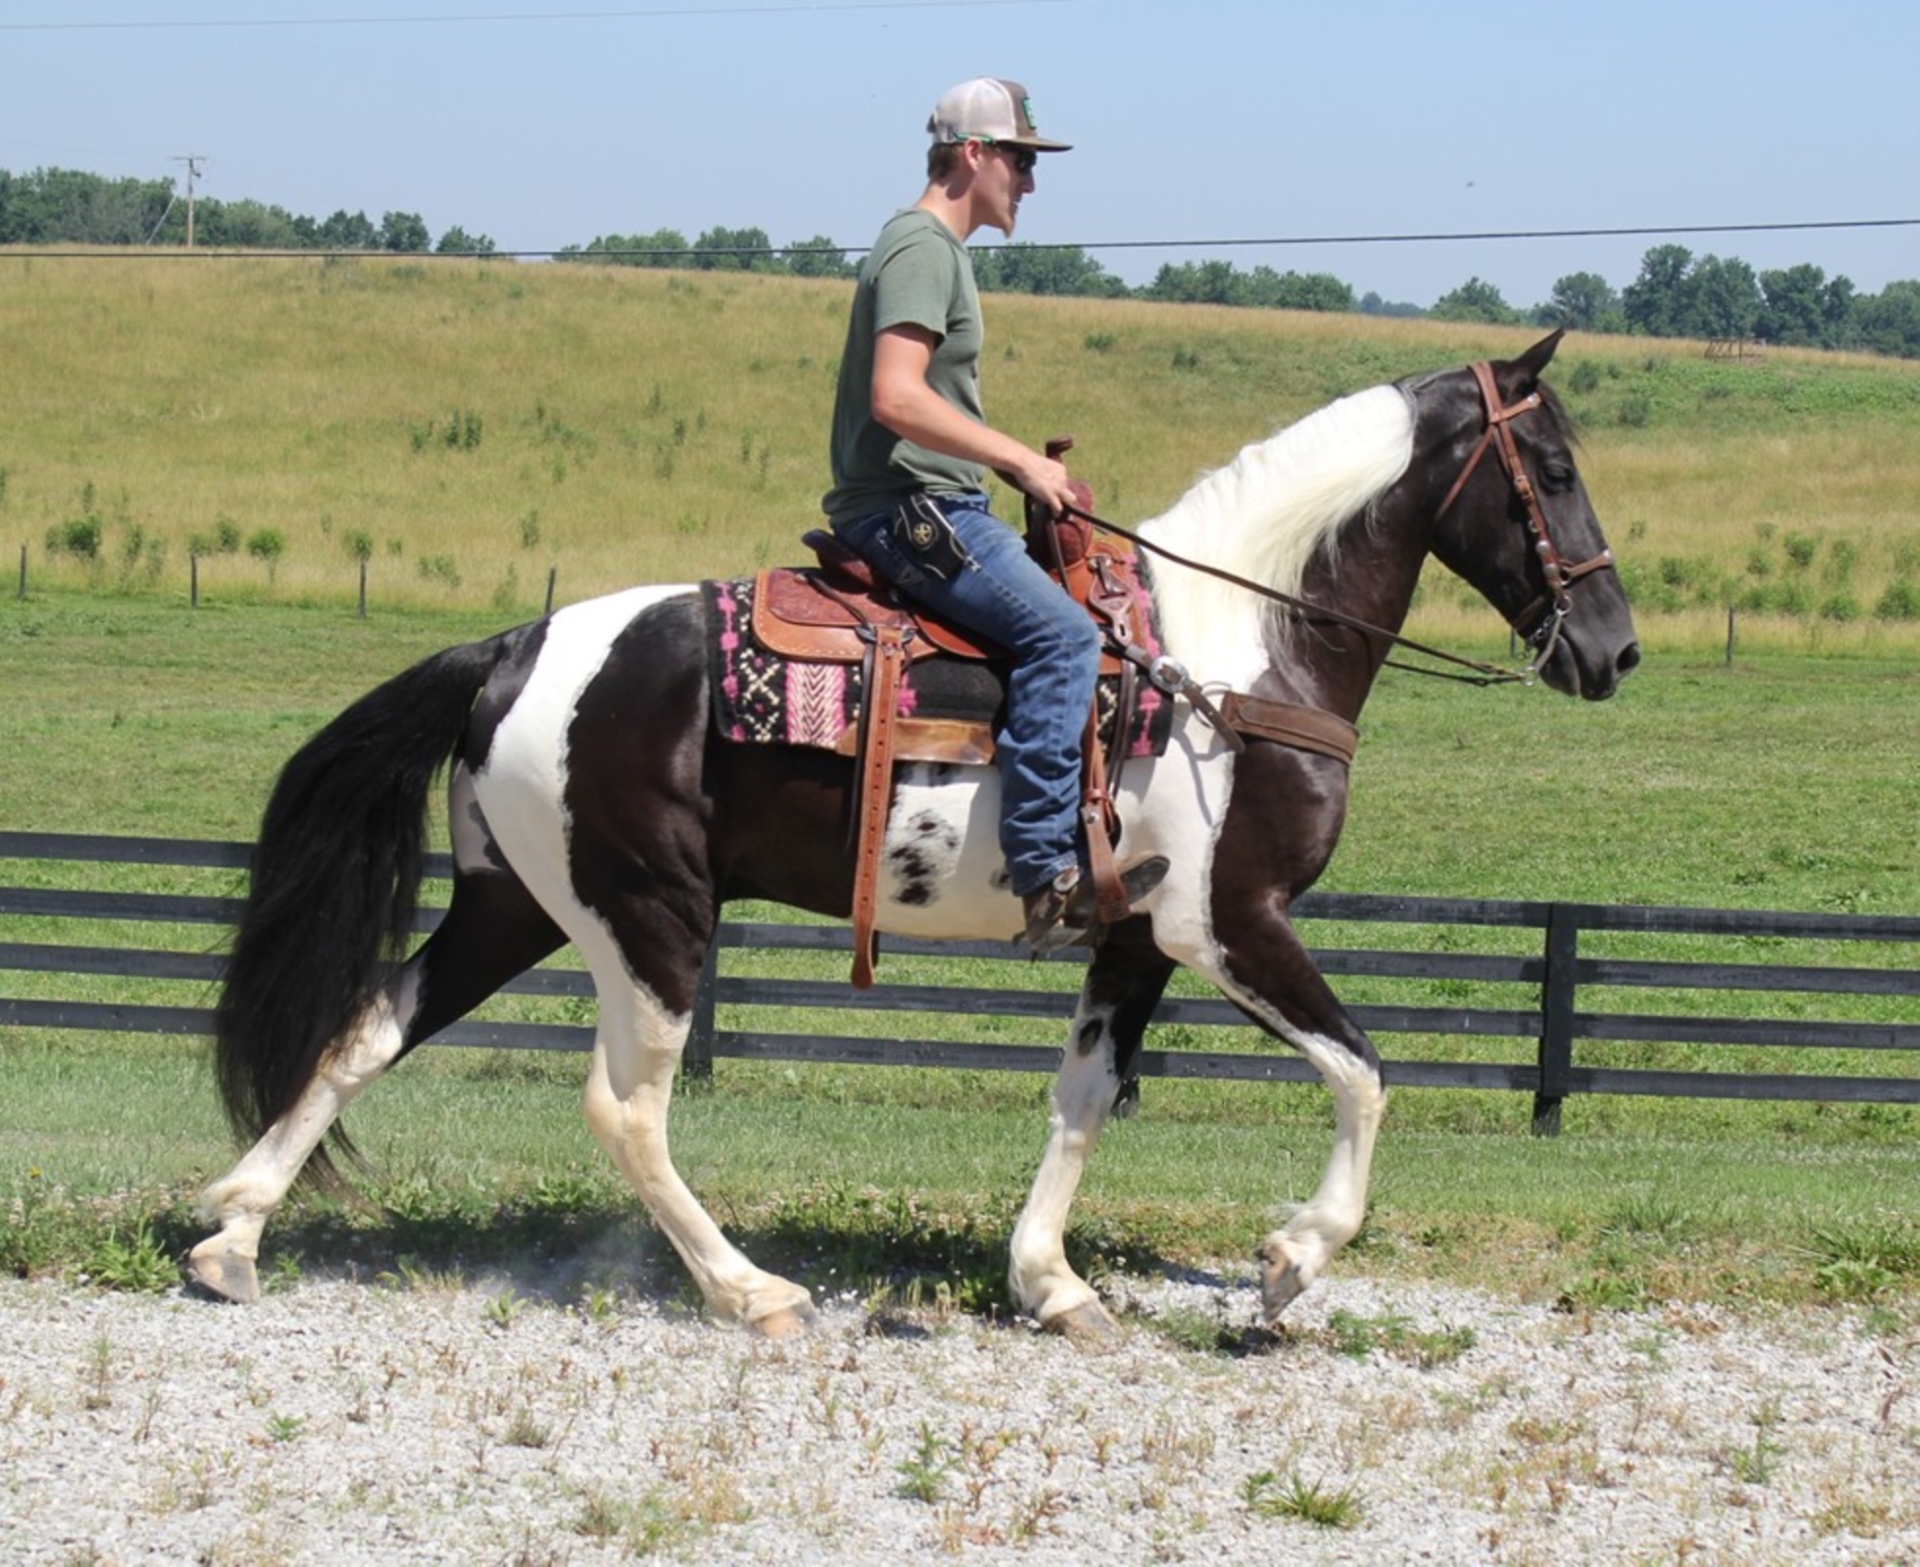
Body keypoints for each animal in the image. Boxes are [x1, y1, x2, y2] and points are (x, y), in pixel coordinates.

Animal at [189, 330, 1638, 1338]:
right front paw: (1291, 1259)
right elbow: (1363, 1070)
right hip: (650, 915)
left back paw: (233, 1237)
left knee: (366, 1028)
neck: (1234, 660)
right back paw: (751, 1289)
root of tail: (512, 643)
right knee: (625, 1107)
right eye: (1557, 467)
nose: (1615, 650)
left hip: (515, 902)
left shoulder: (1135, 937)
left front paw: (1050, 1282)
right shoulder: (1228, 920)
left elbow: (1084, 1098)